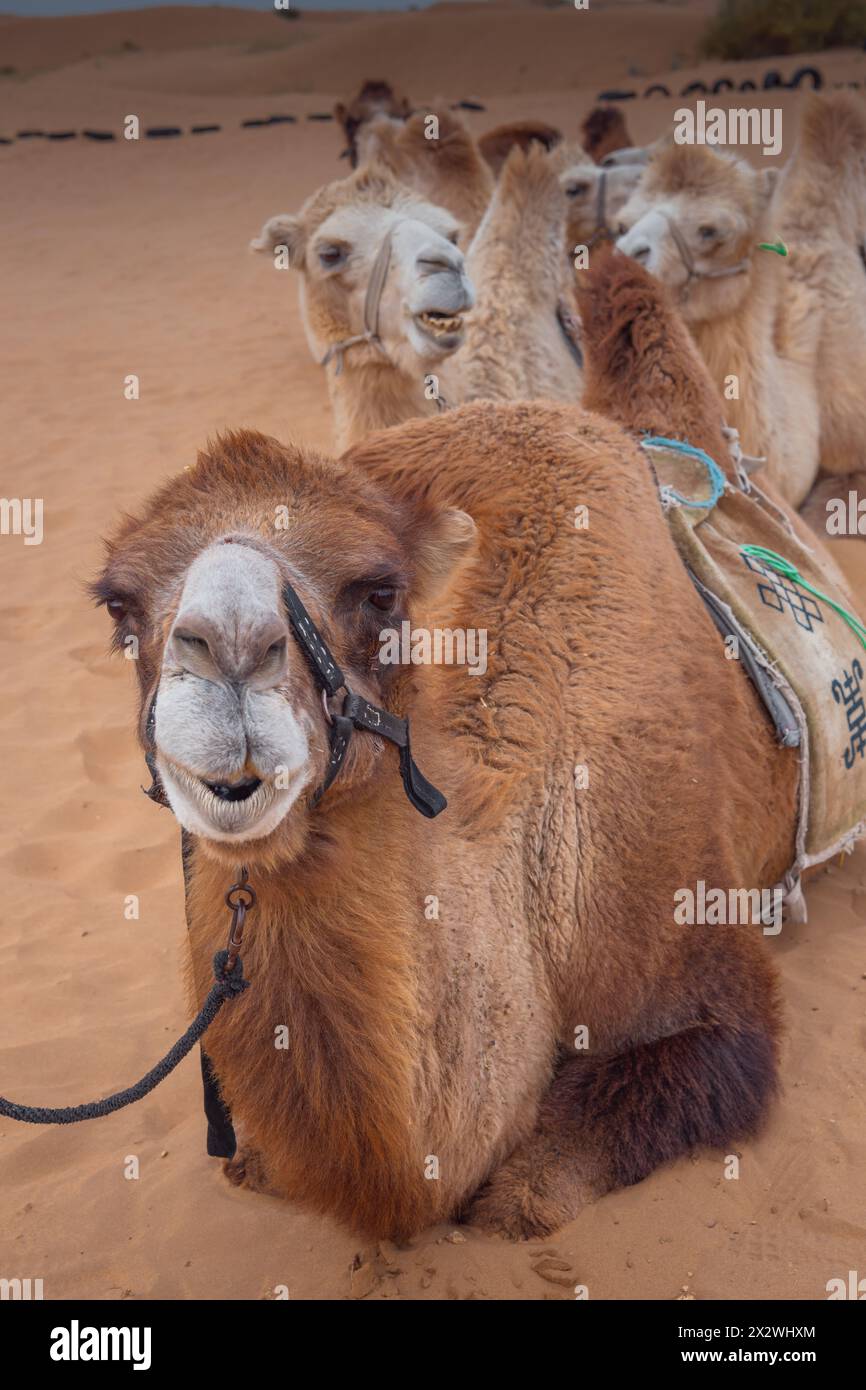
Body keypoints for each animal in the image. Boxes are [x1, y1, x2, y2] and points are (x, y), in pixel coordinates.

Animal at [94, 400, 797, 1239]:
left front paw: (524, 1188)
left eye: (379, 592)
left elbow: (538, 1187)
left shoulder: (697, 958)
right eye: (119, 605)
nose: (227, 650)